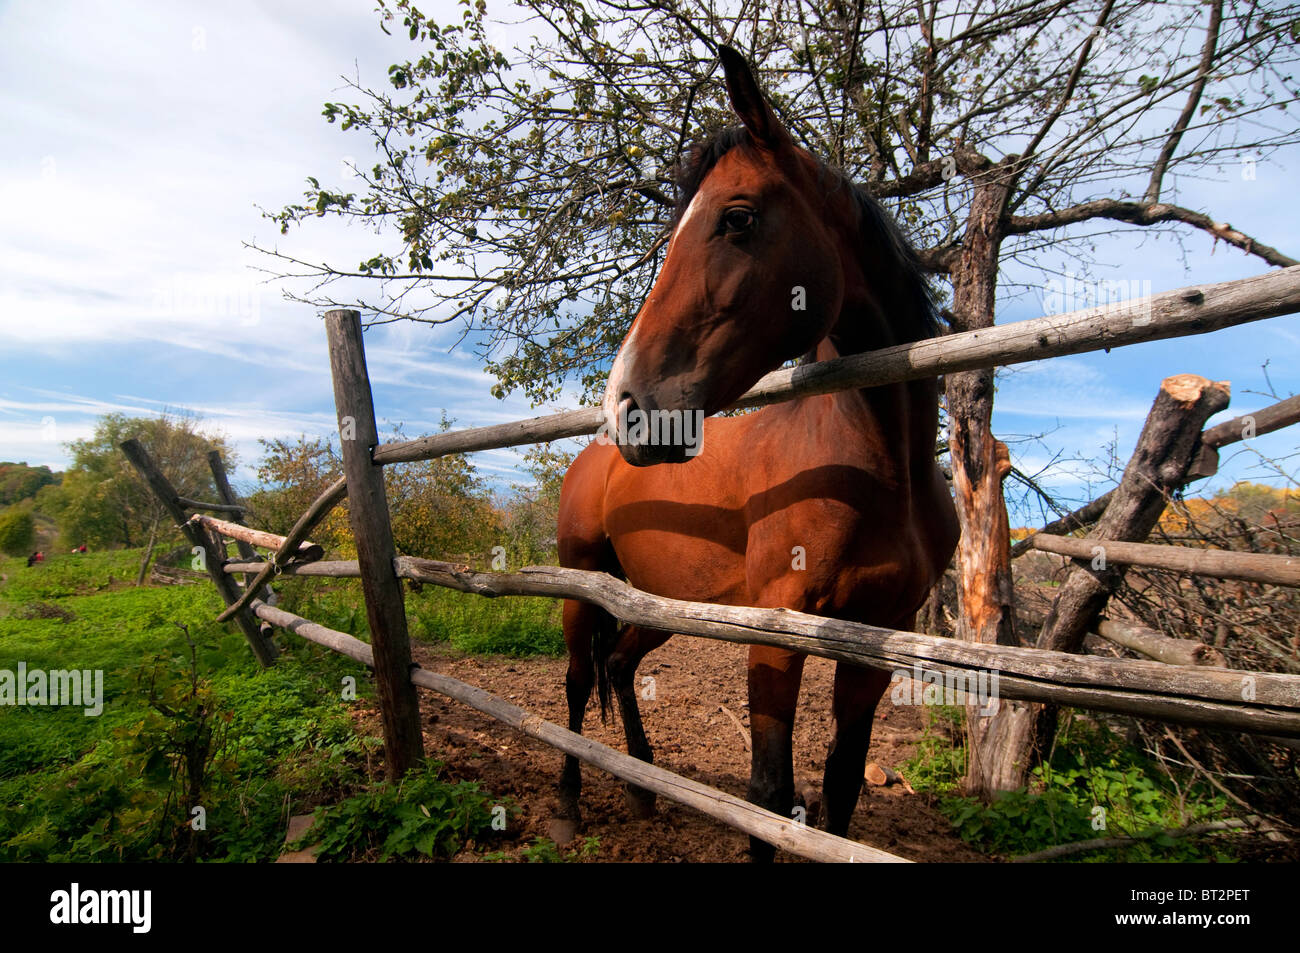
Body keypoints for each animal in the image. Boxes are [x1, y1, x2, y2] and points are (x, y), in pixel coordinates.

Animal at [555, 45, 959, 862]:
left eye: (736, 219)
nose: (628, 404)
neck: (879, 468)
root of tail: (590, 458)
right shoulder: (776, 632)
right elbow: (769, 795)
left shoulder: (876, 639)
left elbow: (841, 787)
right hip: (584, 588)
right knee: (581, 680)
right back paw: (573, 802)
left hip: (662, 602)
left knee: (618, 664)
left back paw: (644, 788)